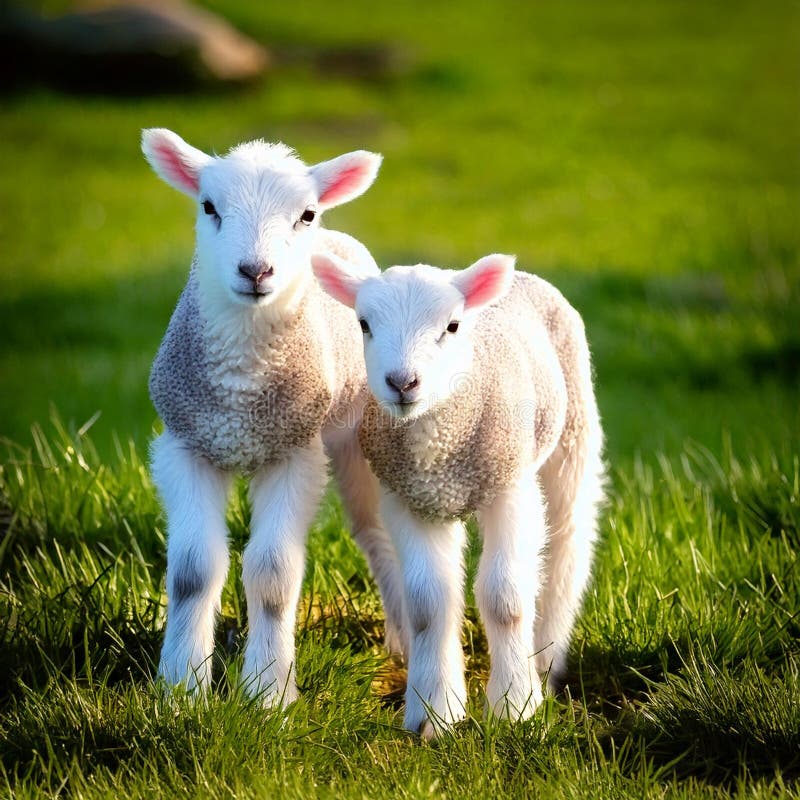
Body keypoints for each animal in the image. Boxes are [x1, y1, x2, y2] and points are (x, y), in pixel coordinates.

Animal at [141, 128, 407, 707]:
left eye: (305, 214)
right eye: (208, 206)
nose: (255, 271)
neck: (241, 391)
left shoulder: (294, 451)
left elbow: (272, 574)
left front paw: (267, 694)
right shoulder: (186, 444)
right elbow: (192, 572)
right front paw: (181, 689)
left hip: (357, 437)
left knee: (379, 537)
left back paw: (402, 642)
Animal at [311, 251, 605, 737]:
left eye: (451, 326)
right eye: (364, 324)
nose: (402, 382)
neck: (439, 445)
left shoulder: (511, 486)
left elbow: (505, 598)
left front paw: (515, 706)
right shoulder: (410, 498)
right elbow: (429, 604)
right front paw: (433, 713)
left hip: (573, 431)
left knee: (569, 538)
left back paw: (547, 658)